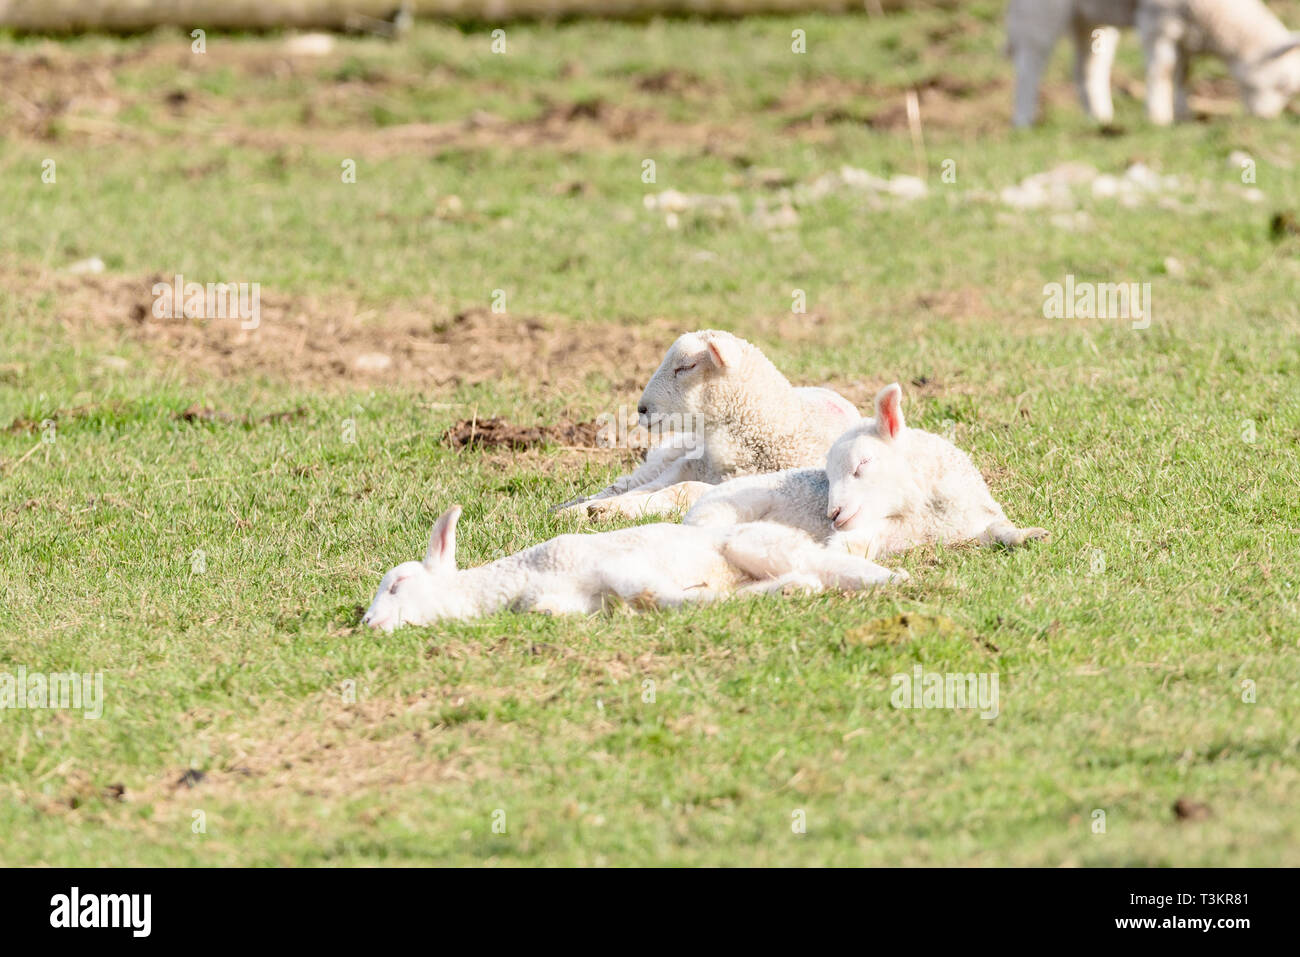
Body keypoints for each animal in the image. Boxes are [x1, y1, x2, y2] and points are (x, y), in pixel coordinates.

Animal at [553, 329, 859, 521]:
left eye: (686, 366)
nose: (641, 409)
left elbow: (683, 490)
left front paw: (610, 512)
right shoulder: (687, 464)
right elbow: (651, 488)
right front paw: (595, 509)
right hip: (668, 455)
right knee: (624, 484)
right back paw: (565, 507)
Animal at [685, 384, 1048, 560]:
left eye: (862, 463)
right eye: (827, 477)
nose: (833, 514)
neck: (925, 517)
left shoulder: (973, 522)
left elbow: (1001, 529)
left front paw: (1030, 535)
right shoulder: (869, 531)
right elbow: (845, 549)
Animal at [1008, 0, 1300, 126]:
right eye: (1282, 85)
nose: (1266, 118)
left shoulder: (1184, 29)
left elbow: (1183, 72)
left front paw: (1183, 113)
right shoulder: (1159, 18)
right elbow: (1163, 70)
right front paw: (1159, 116)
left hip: (1091, 18)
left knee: (1088, 68)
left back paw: (1100, 118)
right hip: (1043, 10)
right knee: (1030, 62)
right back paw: (1024, 119)